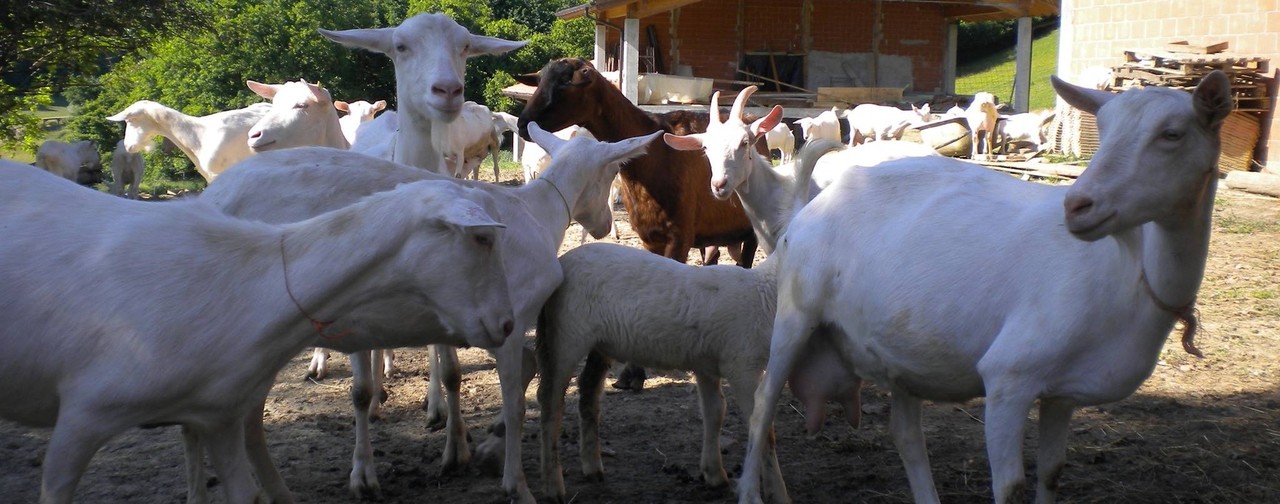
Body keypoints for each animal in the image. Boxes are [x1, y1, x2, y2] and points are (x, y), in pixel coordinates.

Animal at [201, 124, 661, 503]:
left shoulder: (467, 320)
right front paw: (516, 482)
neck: (538, 213)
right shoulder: (507, 317)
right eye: (610, 174)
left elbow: (466, 373)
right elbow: (515, 398)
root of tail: (211, 197)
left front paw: (465, 448)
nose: (605, 226)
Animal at [737, 71, 1234, 504]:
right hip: (796, 313)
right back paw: (749, 492)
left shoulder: (1063, 393)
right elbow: (1011, 487)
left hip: (897, 352)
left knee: (906, 436)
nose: (1078, 205)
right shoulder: (1009, 378)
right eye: (1105, 129)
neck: (1127, 267)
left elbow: (1052, 473)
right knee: (762, 406)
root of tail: (809, 206)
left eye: (1172, 134)